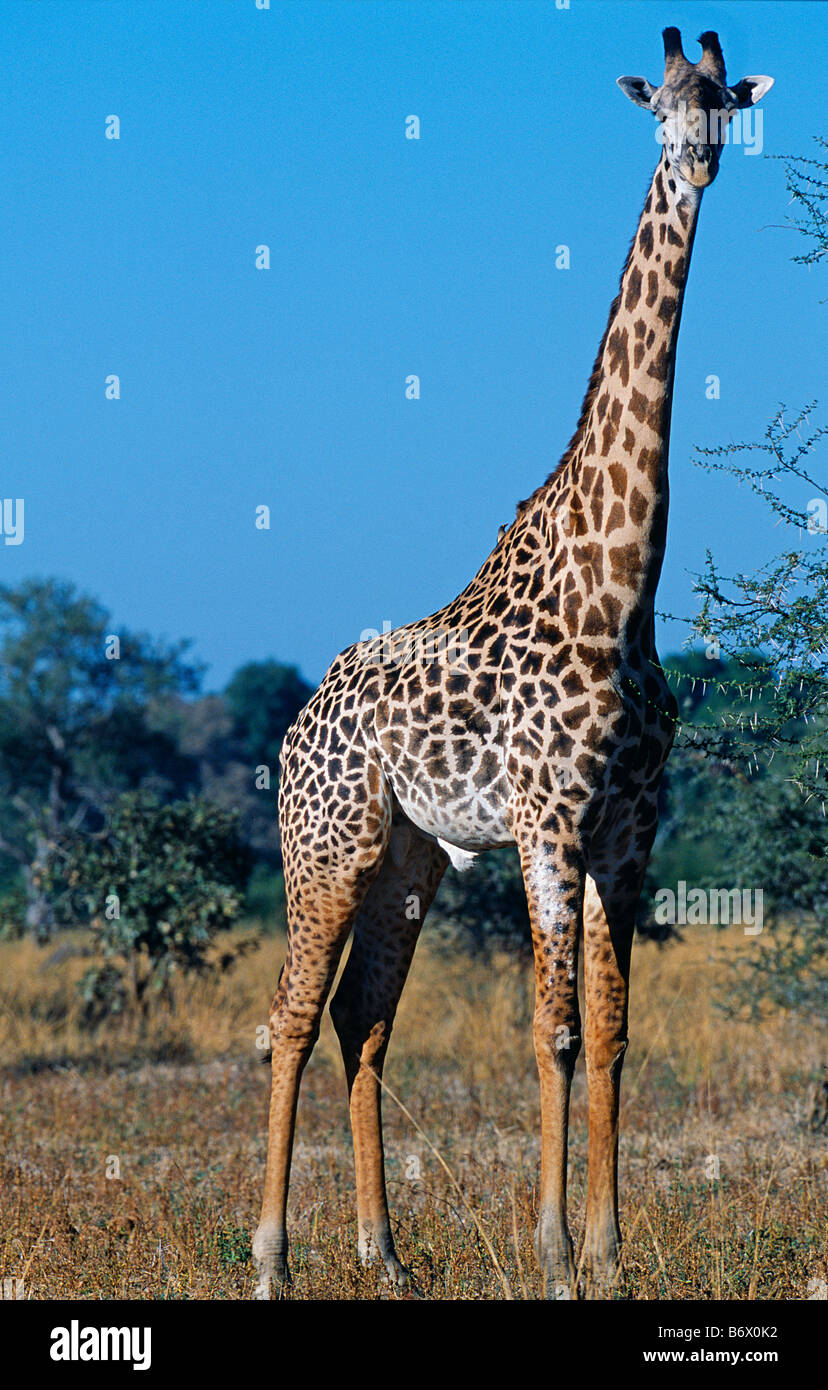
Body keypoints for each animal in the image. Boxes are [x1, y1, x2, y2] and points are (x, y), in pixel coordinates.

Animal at [253, 28, 773, 1298]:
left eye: (726, 103)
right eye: (662, 109)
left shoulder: (630, 834)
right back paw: (273, 1259)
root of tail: (295, 724)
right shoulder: (549, 823)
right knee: (289, 1018)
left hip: (409, 859)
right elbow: (555, 1032)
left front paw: (611, 1255)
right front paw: (553, 1258)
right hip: (325, 849)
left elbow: (618, 1035)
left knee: (362, 1019)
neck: (619, 588)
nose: (699, 159)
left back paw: (384, 1257)